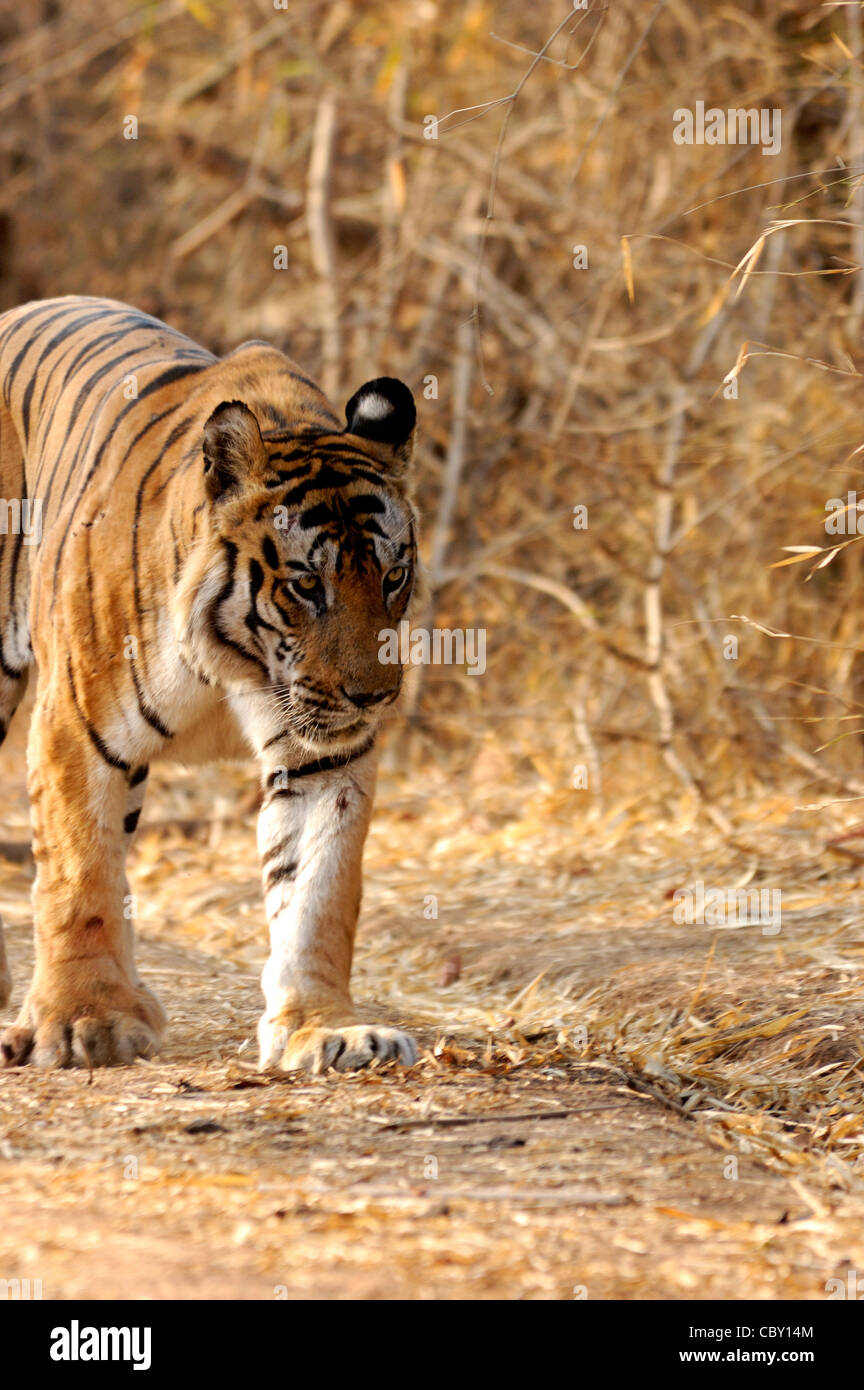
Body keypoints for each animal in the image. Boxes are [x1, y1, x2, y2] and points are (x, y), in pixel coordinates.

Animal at [0, 295, 421, 1073]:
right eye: (306, 585)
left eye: (393, 576)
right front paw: (82, 1021)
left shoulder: (324, 755)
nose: (374, 698)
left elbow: (319, 893)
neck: (238, 660)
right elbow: (78, 875)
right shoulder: (76, 727)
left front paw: (325, 1029)